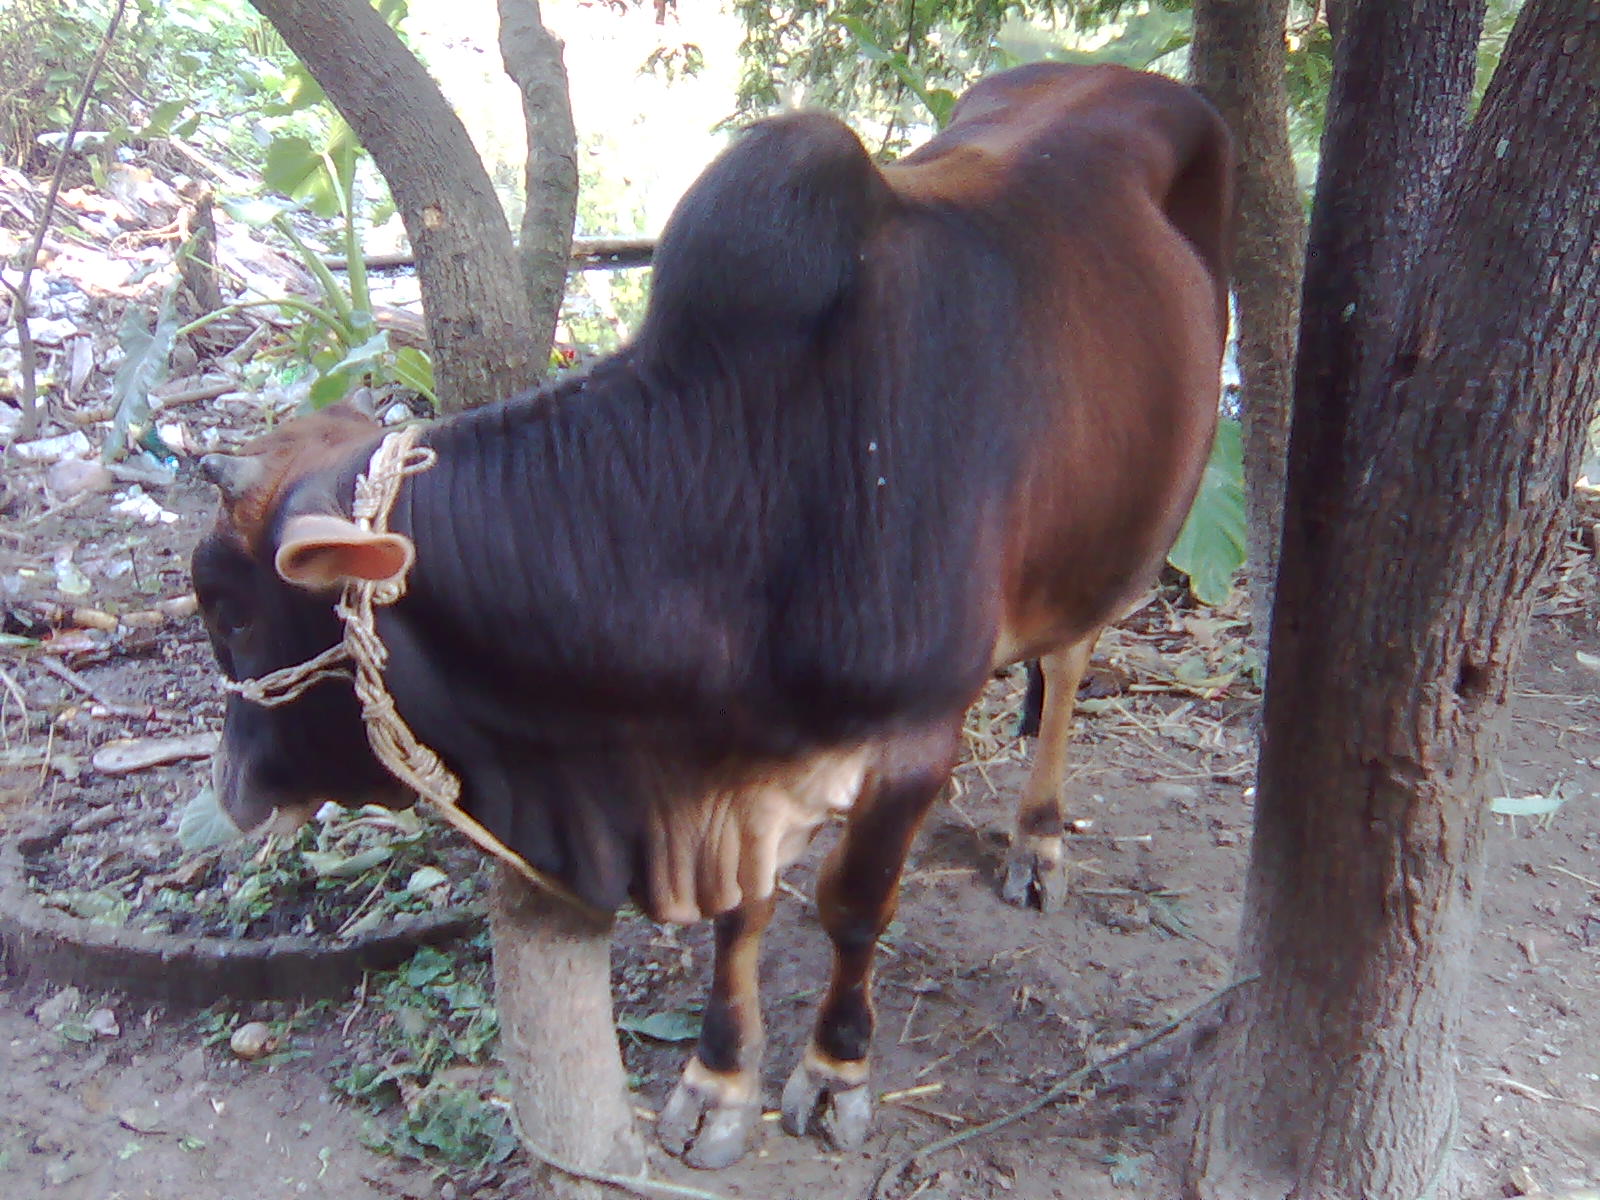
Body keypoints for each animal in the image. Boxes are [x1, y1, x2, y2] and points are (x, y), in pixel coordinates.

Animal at [190, 61, 1232, 1169]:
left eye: (229, 611)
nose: (230, 787)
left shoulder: (911, 736)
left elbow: (854, 903)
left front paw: (834, 1071)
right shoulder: (735, 771)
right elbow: (744, 913)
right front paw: (718, 1083)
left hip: (1134, 522)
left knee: (1071, 665)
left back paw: (1037, 839)